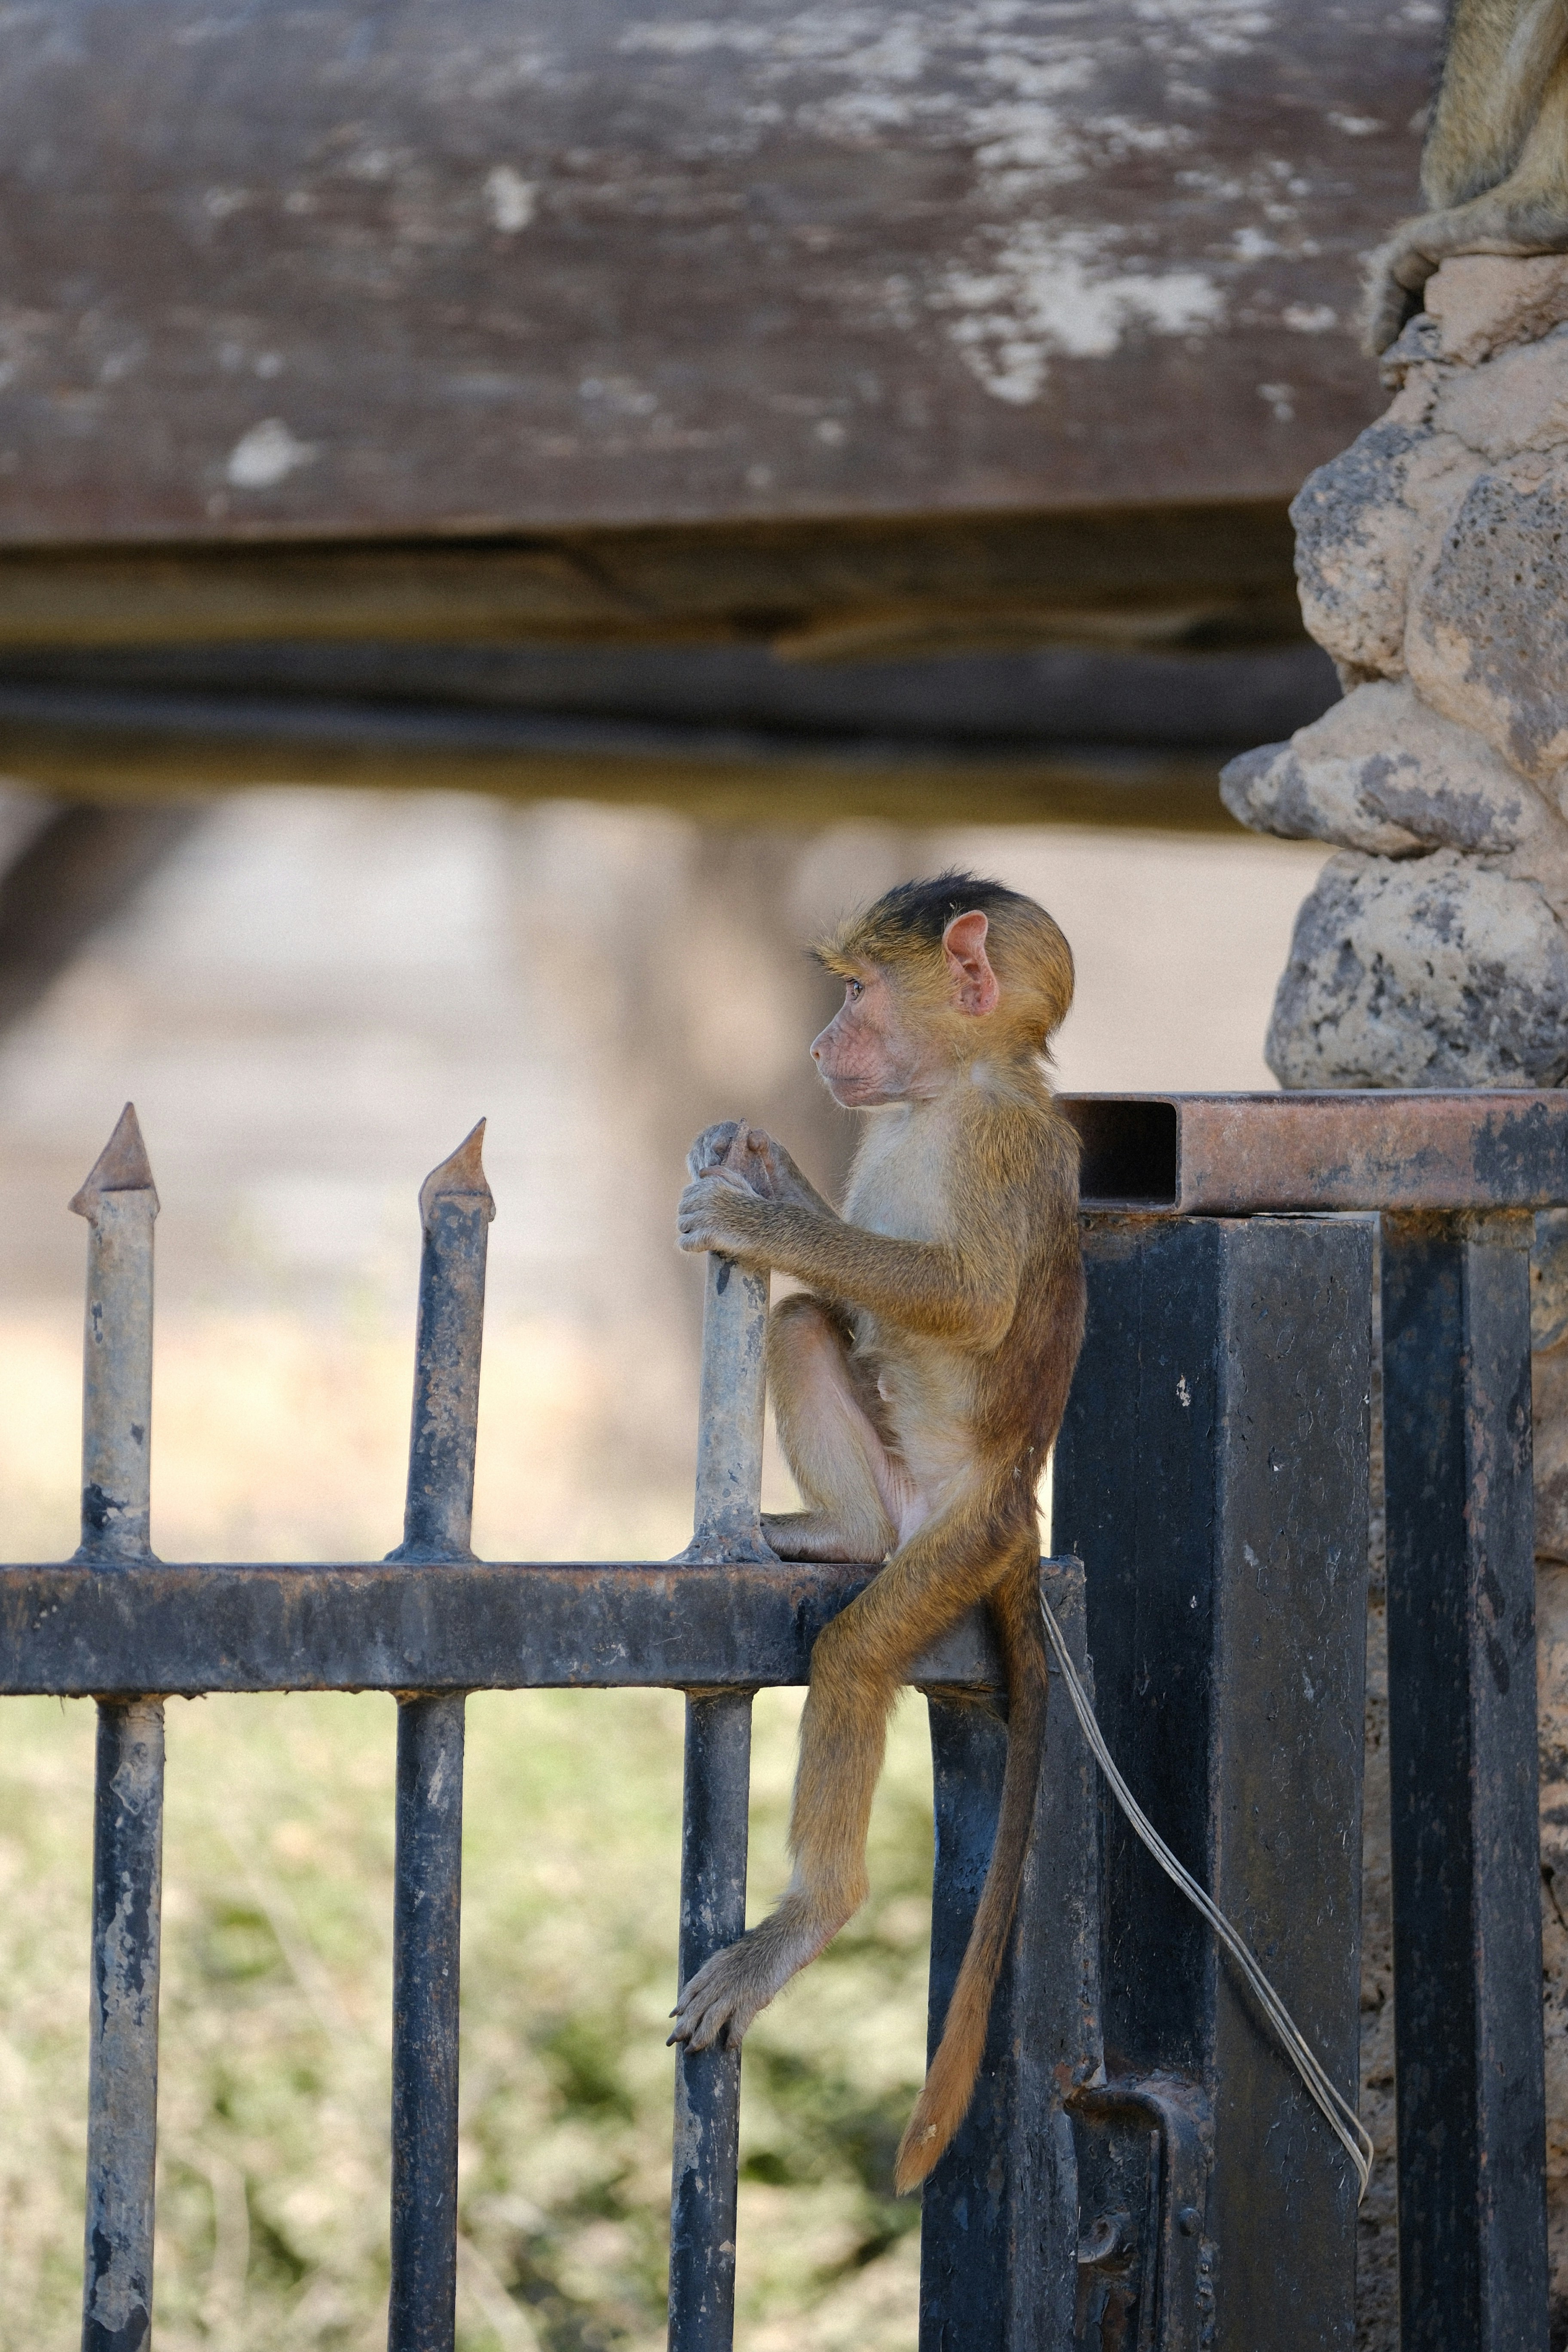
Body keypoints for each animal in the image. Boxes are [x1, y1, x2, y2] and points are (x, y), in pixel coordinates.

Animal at [668, 872, 1085, 2193]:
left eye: (856, 991)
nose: (818, 1045)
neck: (951, 1091)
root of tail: (1014, 1514)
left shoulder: (999, 1148)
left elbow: (967, 1297)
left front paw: (753, 1215)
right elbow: (838, 1304)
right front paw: (761, 1160)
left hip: (952, 1551)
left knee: (856, 1655)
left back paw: (810, 1918)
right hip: (906, 1511)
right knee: (805, 1327)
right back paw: (839, 1534)